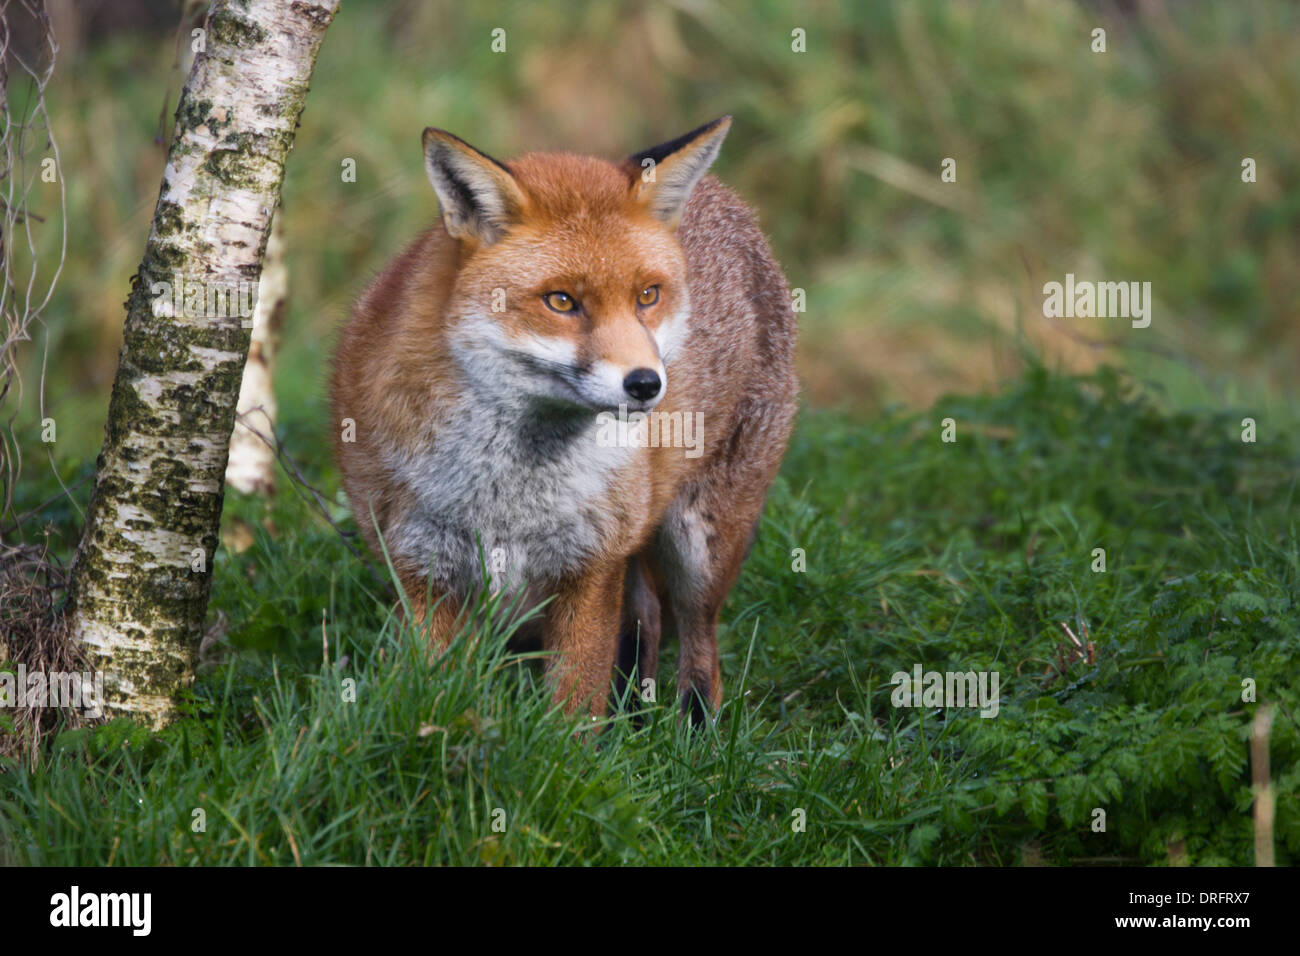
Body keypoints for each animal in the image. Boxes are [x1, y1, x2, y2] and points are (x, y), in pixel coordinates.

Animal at [330, 116, 797, 723]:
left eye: (647, 295)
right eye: (561, 302)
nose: (646, 384)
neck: (508, 491)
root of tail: (731, 202)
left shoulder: (592, 563)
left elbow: (572, 706)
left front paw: (573, 745)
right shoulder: (419, 566)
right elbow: (431, 690)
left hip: (700, 544)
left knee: (700, 643)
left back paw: (696, 727)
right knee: (647, 617)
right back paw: (635, 714)